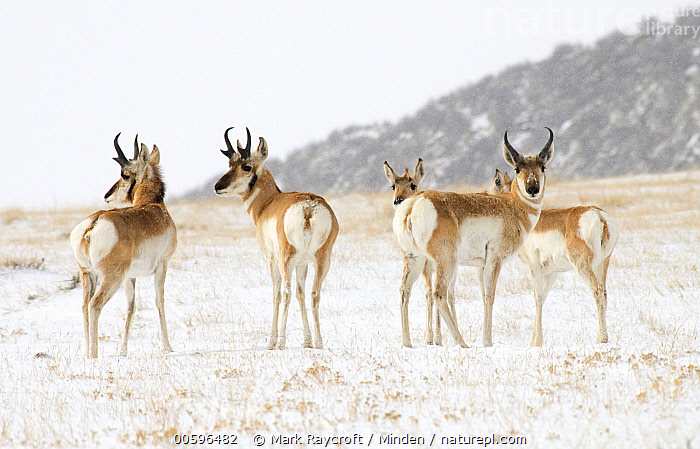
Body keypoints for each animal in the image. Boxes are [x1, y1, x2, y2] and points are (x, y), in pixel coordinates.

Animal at [69, 134, 177, 358]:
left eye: (125, 175)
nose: (107, 196)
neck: (153, 207)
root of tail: (94, 223)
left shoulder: (131, 275)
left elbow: (131, 307)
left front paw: (122, 350)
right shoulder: (163, 265)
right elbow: (159, 300)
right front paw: (168, 347)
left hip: (88, 275)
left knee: (84, 306)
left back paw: (87, 352)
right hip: (112, 277)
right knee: (95, 305)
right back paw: (94, 354)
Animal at [214, 127, 339, 350]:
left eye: (246, 166)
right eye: (230, 164)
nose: (218, 186)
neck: (269, 203)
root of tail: (308, 206)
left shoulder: (272, 259)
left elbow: (276, 294)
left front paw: (272, 341)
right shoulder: (303, 263)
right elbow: (301, 293)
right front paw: (307, 341)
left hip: (285, 260)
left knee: (285, 293)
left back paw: (280, 341)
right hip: (322, 260)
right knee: (314, 294)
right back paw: (319, 342)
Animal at [389, 128, 554, 348]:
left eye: (542, 167)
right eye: (517, 168)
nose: (532, 189)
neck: (511, 206)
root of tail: (415, 203)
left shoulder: (480, 265)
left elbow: (483, 296)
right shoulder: (494, 260)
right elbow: (490, 295)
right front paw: (487, 342)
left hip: (414, 259)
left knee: (404, 291)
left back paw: (407, 343)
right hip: (446, 261)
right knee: (439, 293)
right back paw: (462, 343)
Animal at [491, 169, 620, 346]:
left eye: (495, 185)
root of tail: (599, 216)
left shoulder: (535, 268)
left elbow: (537, 298)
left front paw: (537, 342)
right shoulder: (552, 272)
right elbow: (543, 297)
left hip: (583, 266)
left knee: (597, 290)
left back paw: (601, 338)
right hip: (602, 265)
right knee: (605, 292)